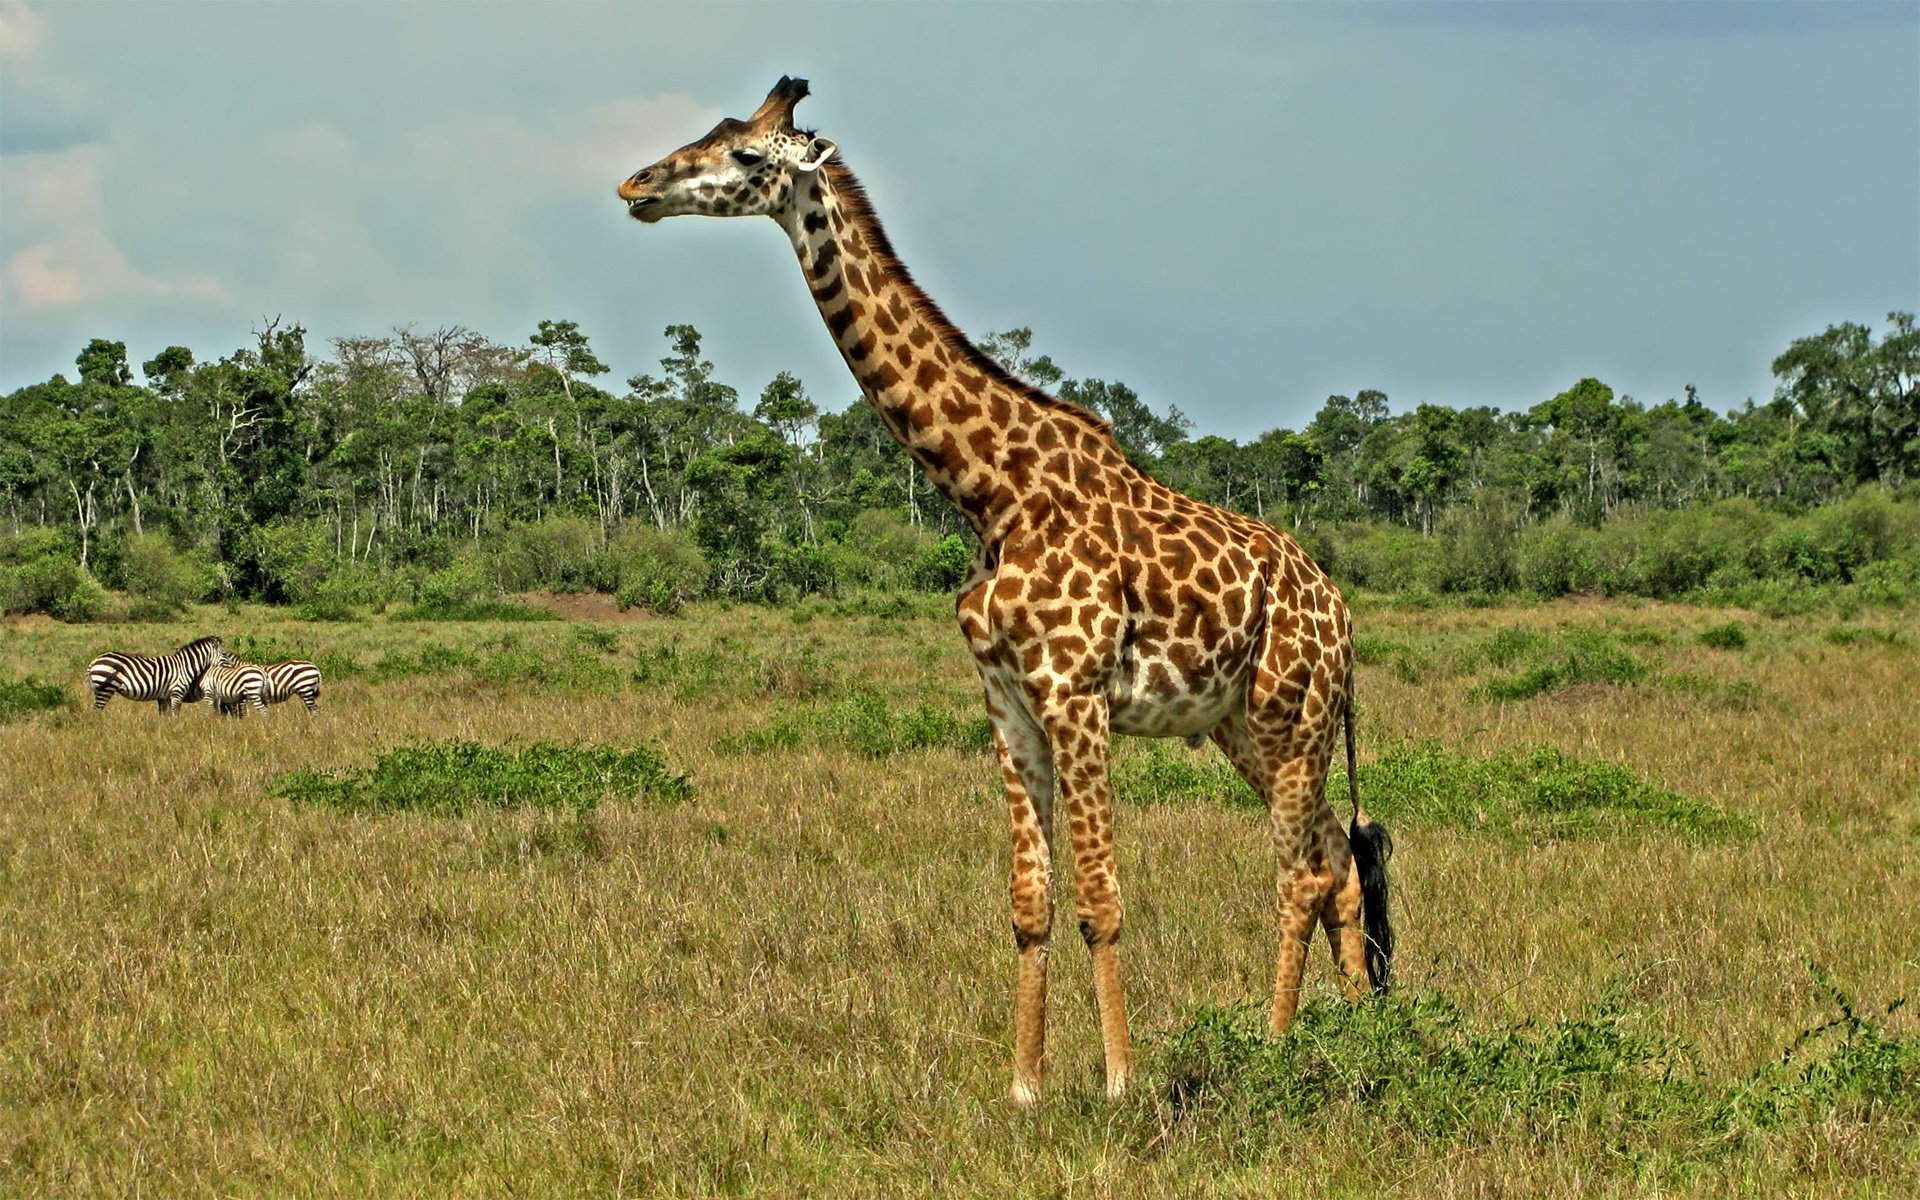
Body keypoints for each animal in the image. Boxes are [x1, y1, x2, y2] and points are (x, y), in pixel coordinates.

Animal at [617, 77, 1394, 1105]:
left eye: (746, 155)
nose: (637, 184)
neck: (991, 492)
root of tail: (1340, 613)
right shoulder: (1007, 701)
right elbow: (1030, 902)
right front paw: (1024, 1085)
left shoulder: (1076, 693)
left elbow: (1101, 897)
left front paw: (1119, 1080)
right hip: (1240, 725)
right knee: (1338, 858)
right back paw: (1356, 1033)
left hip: (1289, 713)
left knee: (1300, 874)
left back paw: (1274, 1046)